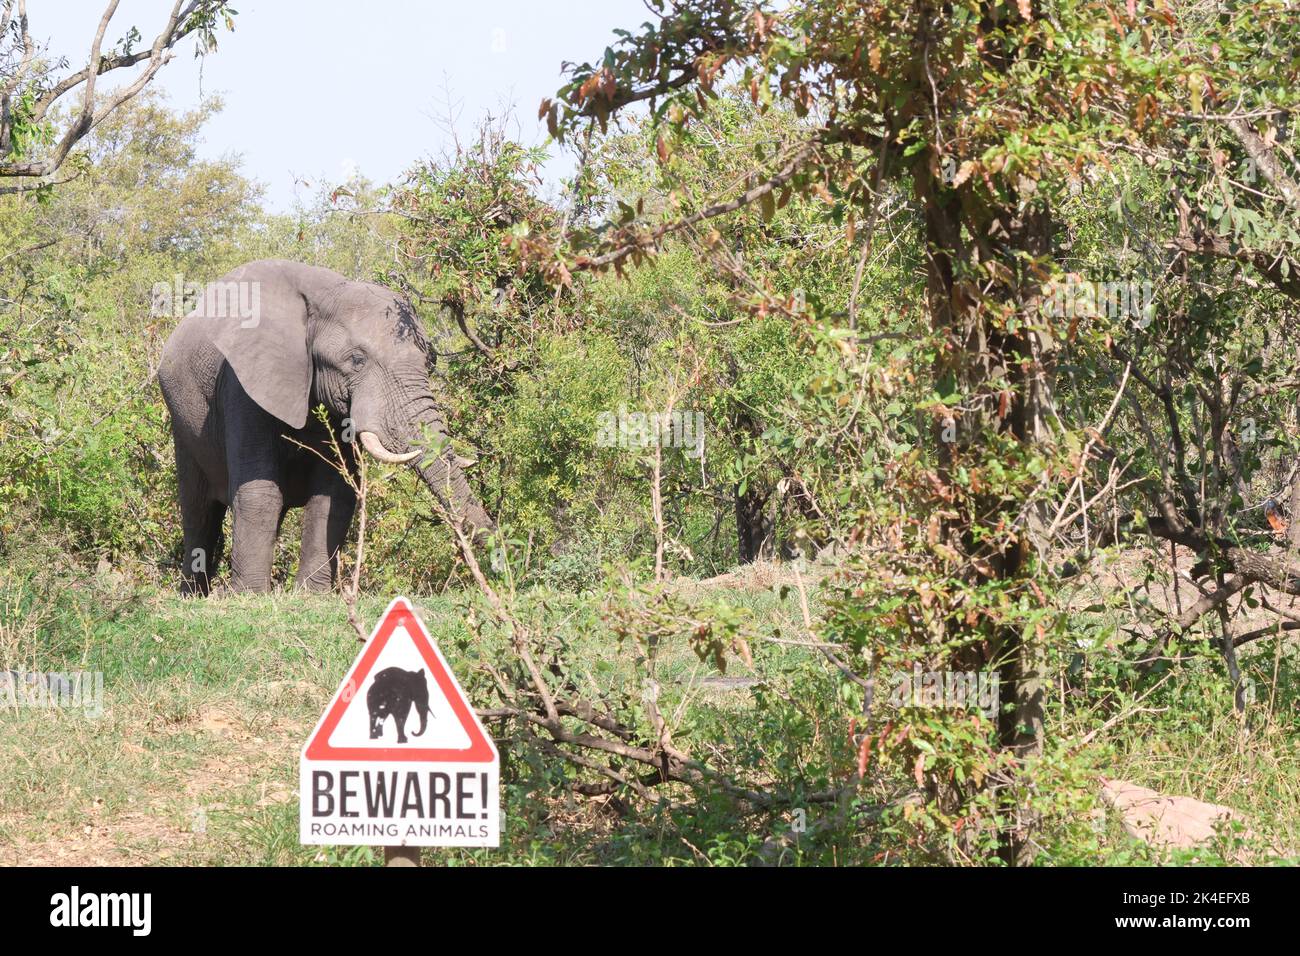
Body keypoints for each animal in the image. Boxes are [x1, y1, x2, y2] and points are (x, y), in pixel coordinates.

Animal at [157, 259, 494, 594]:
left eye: (429, 362)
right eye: (356, 360)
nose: (496, 547)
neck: (322, 299)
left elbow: (335, 493)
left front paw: (311, 594)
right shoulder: (242, 382)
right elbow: (259, 491)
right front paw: (249, 595)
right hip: (183, 421)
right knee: (199, 511)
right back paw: (193, 594)